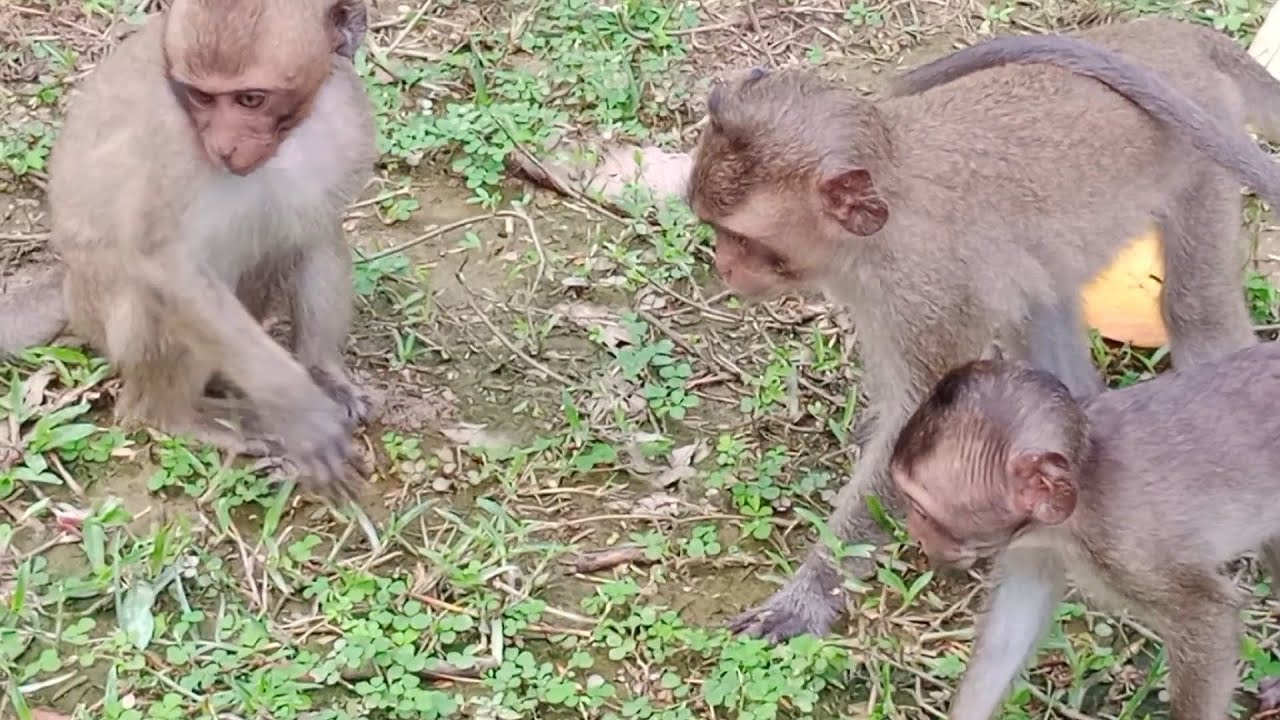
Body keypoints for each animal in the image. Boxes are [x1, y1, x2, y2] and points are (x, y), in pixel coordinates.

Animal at [0, 0, 378, 499]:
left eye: (251, 99)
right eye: (201, 97)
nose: (223, 144)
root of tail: (68, 286)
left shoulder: (346, 111)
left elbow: (315, 231)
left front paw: (322, 374)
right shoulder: (173, 144)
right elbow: (162, 265)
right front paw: (299, 408)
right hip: (111, 323)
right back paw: (172, 414)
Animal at [687, 16, 1280, 641]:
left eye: (743, 239)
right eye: (715, 228)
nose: (724, 265)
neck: (884, 214)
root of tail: (1169, 32)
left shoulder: (923, 290)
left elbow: (912, 422)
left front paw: (808, 595)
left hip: (1202, 156)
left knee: (1196, 311)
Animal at [888, 341, 1280, 720]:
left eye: (922, 511)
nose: (914, 532)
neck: (1083, 481)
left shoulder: (1128, 550)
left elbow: (1207, 617)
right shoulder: (1036, 544)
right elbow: (1012, 628)